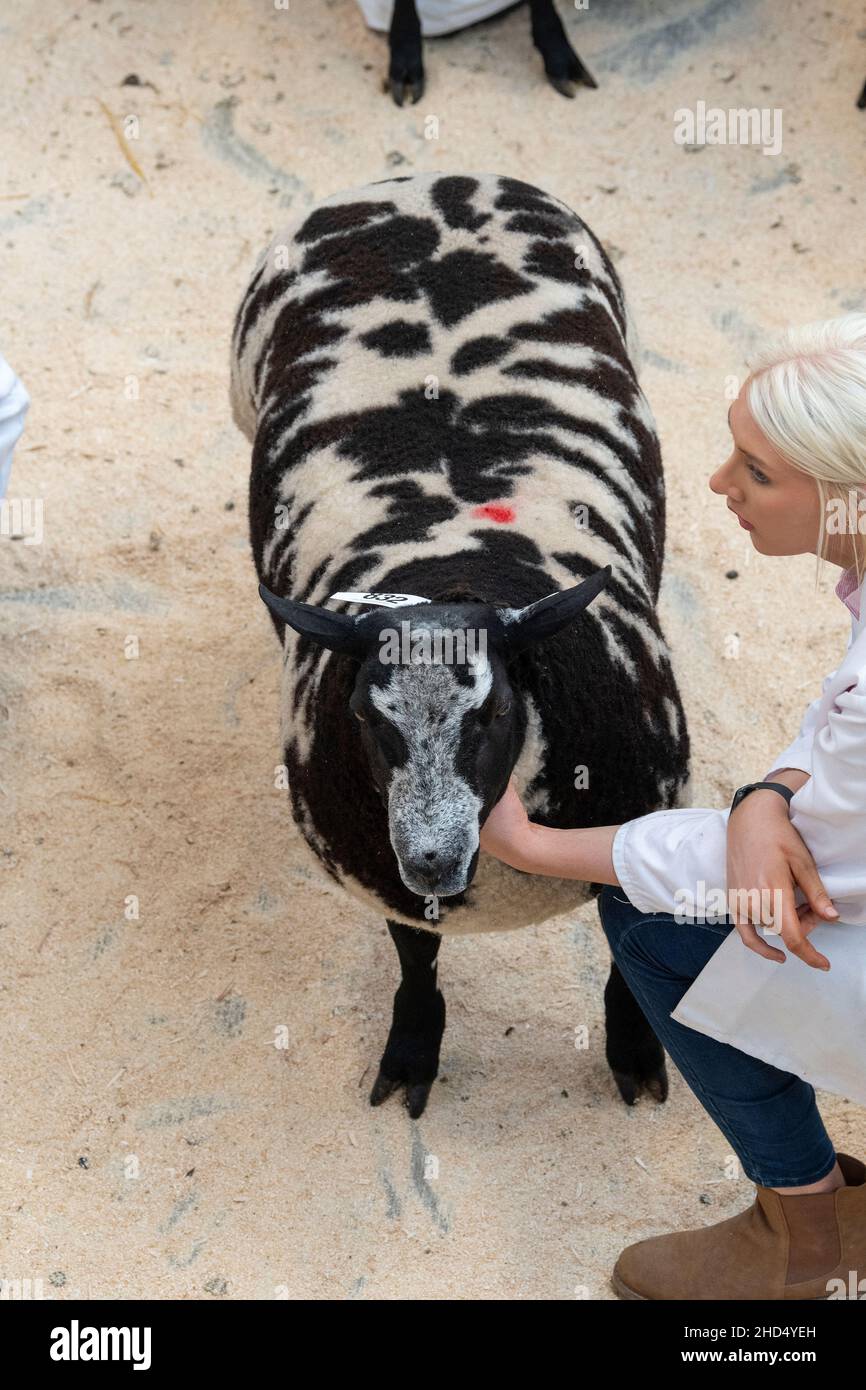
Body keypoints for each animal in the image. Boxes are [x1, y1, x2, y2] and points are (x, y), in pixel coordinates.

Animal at [230, 171, 691, 1118]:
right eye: (367, 718)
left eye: (496, 709)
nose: (434, 858)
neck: (456, 569)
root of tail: (415, 179)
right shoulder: (389, 879)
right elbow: (415, 962)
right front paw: (411, 1054)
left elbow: (629, 963)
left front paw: (635, 1058)